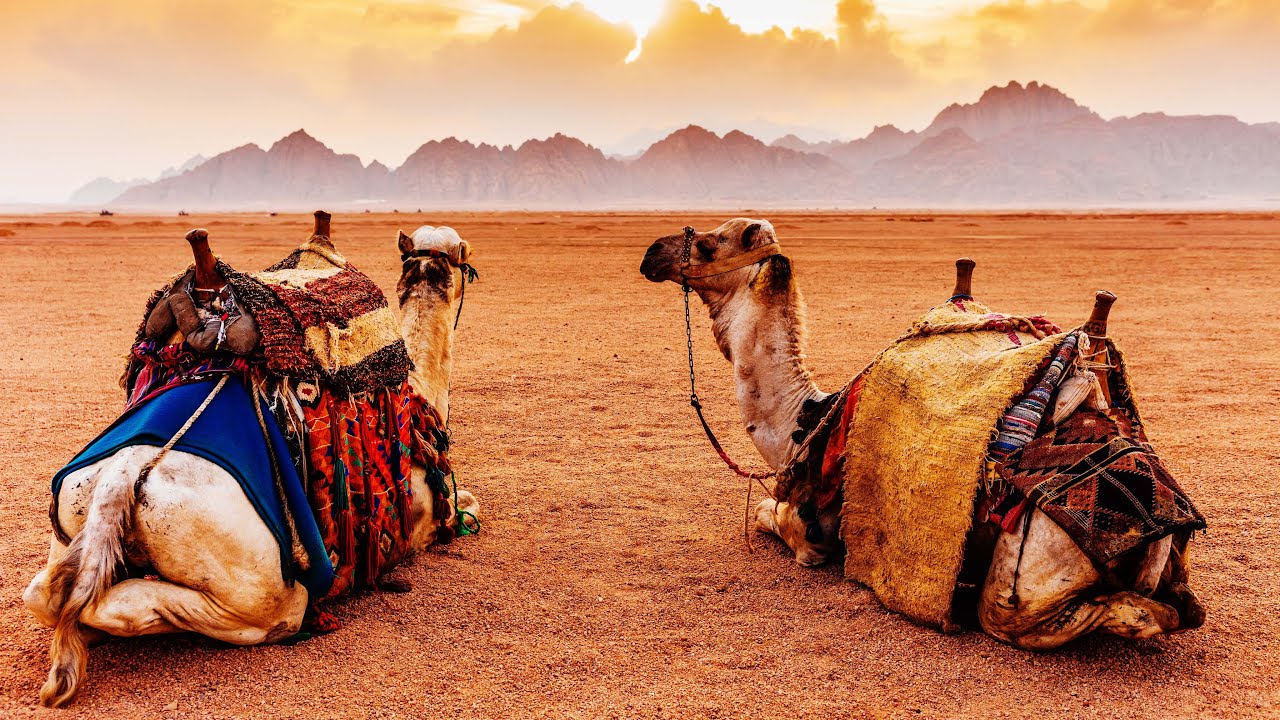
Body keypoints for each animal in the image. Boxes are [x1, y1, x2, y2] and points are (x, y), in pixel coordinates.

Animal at [23, 217, 479, 707]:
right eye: (466, 255)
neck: (420, 392)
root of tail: (122, 475)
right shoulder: (422, 522)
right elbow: (468, 506)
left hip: (74, 516)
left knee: (46, 594)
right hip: (255, 584)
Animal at [640, 218, 1205, 649]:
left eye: (710, 242)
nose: (652, 253)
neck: (802, 421)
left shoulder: (808, 534)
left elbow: (767, 514)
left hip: (1026, 579)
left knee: (1068, 615)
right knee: (1181, 606)